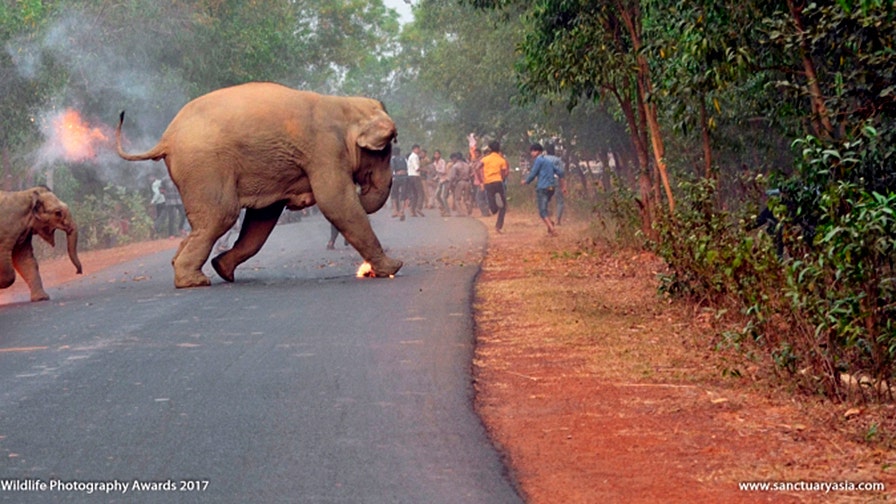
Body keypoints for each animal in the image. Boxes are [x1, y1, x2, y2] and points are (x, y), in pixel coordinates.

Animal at [116, 82, 401, 288]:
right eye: (385, 151)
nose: (363, 192)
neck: (345, 104)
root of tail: (166, 138)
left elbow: (263, 218)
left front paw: (223, 268)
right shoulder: (325, 150)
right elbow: (336, 202)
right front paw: (393, 268)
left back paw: (198, 270)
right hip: (205, 165)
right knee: (222, 215)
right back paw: (194, 282)